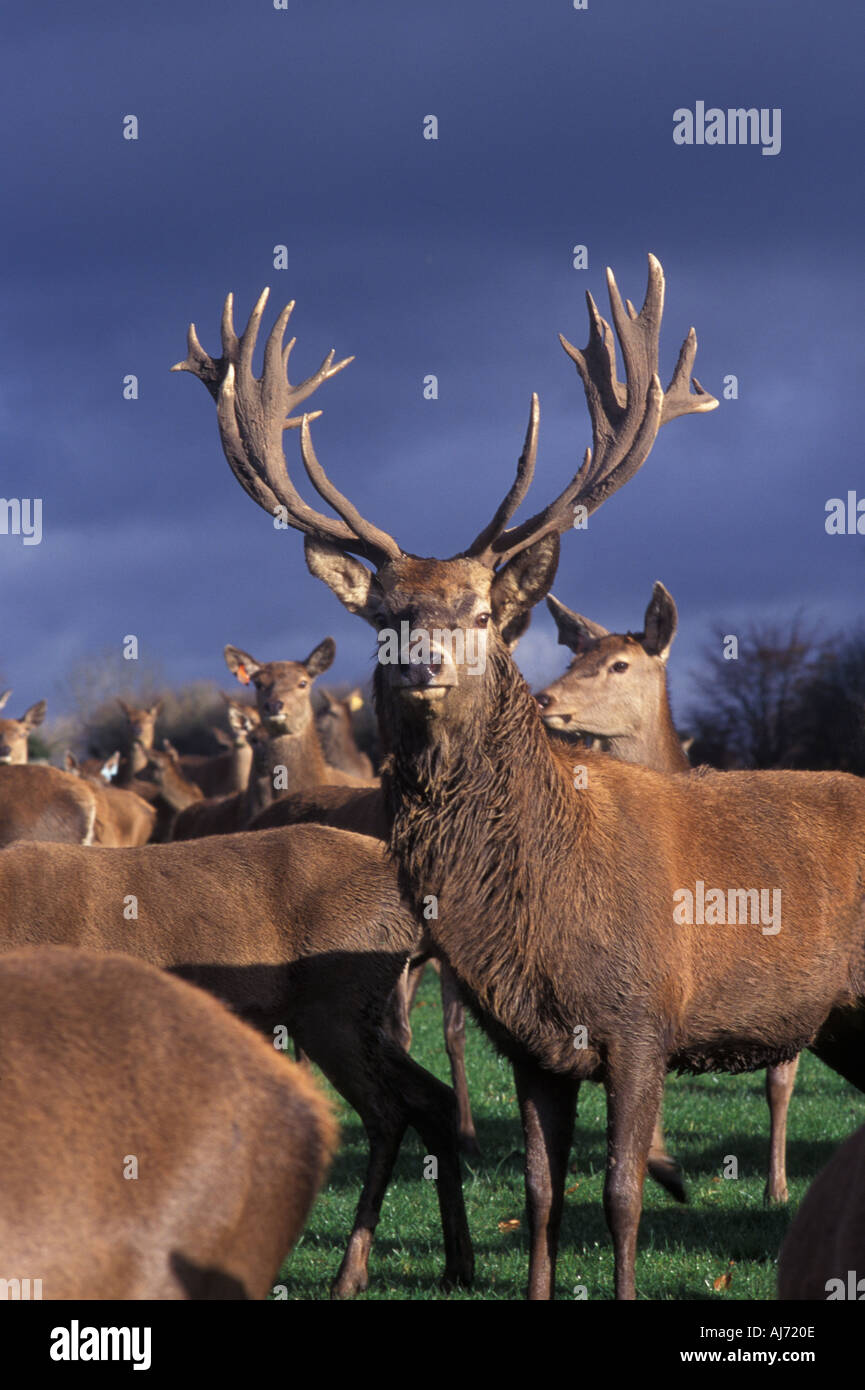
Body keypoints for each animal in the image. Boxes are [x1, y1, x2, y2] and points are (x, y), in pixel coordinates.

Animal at [535, 582, 800, 1204]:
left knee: (781, 1076)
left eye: (620, 663)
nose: (545, 696)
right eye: (573, 656)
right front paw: (662, 1163)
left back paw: (777, 1187)